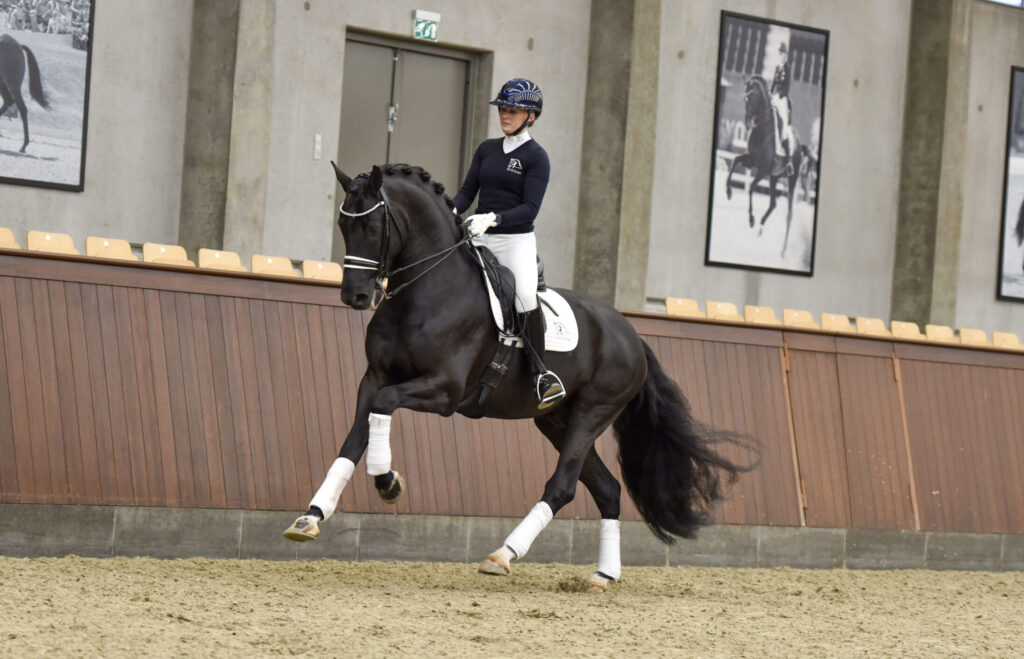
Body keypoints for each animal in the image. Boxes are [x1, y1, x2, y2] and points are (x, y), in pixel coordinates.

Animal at [283, 162, 750, 591]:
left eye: (375, 224)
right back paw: (602, 575)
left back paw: (503, 554)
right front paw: (311, 517)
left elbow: (382, 411)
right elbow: (352, 441)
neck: (426, 292)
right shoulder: (375, 378)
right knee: (607, 489)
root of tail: (631, 334)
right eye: (343, 222)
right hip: (556, 421)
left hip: (593, 413)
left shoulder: (444, 391)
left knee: (562, 487)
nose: (355, 296)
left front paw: (388, 483)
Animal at [725, 75, 802, 257]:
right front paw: (729, 192)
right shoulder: (752, 161)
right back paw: (761, 226)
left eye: (752, 98)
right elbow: (735, 161)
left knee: (789, 214)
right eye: (744, 99)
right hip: (774, 177)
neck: (763, 128)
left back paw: (783, 251)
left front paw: (751, 219)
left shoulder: (763, 169)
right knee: (773, 203)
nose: (747, 124)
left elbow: (752, 188)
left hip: (791, 179)